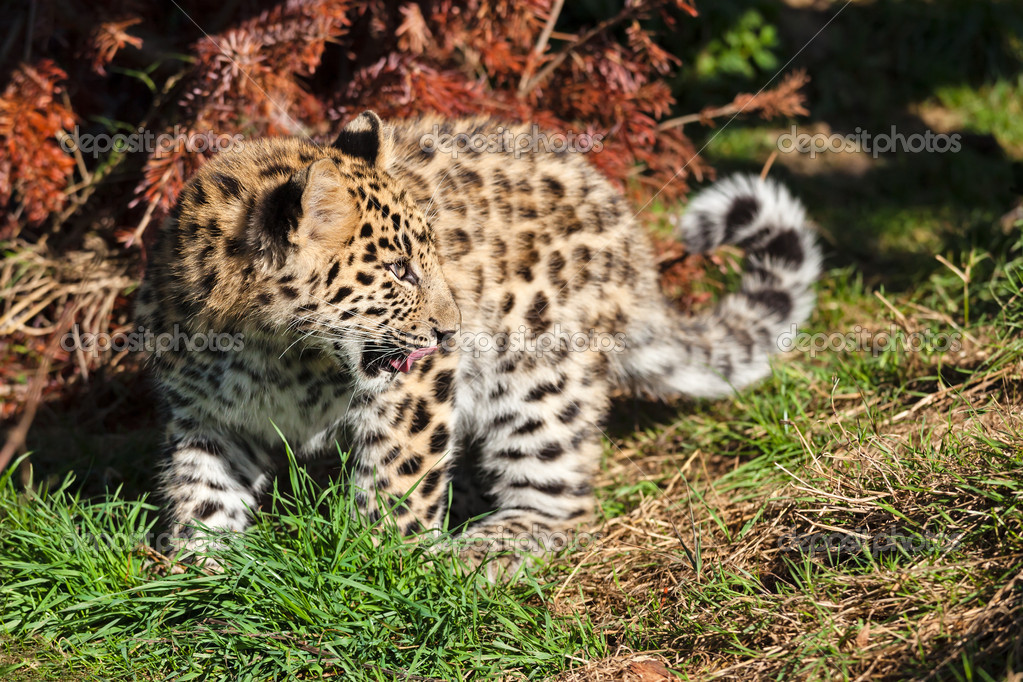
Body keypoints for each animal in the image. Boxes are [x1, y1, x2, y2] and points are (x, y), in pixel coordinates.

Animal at [135, 111, 820, 578]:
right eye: (400, 271)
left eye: (434, 259)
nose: (452, 329)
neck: (267, 346)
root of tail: (633, 246)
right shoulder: (206, 417)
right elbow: (202, 491)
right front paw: (200, 575)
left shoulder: (415, 386)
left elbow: (400, 482)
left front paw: (385, 570)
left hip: (541, 375)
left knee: (561, 497)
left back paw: (484, 551)